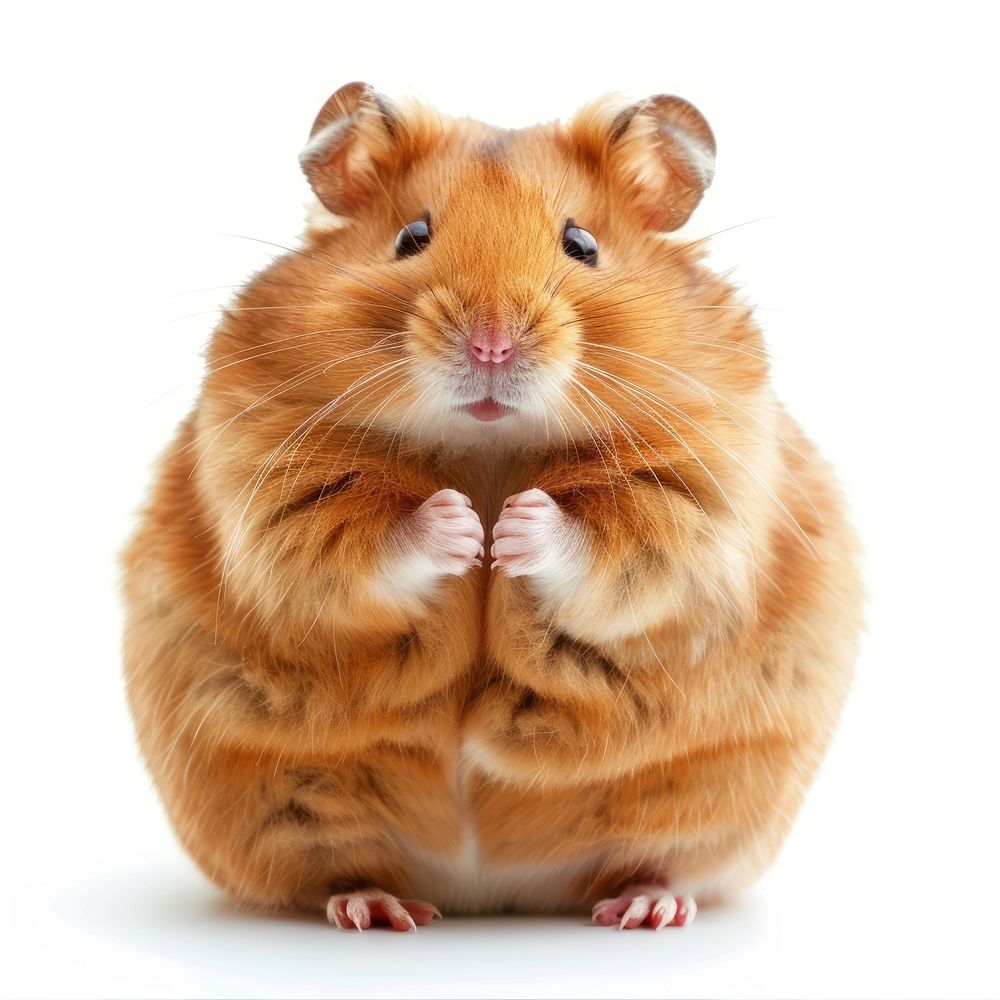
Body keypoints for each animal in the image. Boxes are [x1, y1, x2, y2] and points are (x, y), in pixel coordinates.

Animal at [122, 82, 862, 931]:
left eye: (581, 243)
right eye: (411, 236)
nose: (491, 345)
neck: (488, 445)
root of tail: (487, 892)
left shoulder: (697, 494)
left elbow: (616, 553)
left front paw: (512, 526)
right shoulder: (274, 487)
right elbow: (353, 547)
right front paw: (462, 526)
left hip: (707, 801)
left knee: (662, 861)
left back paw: (646, 907)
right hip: (287, 800)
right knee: (334, 869)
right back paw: (379, 909)